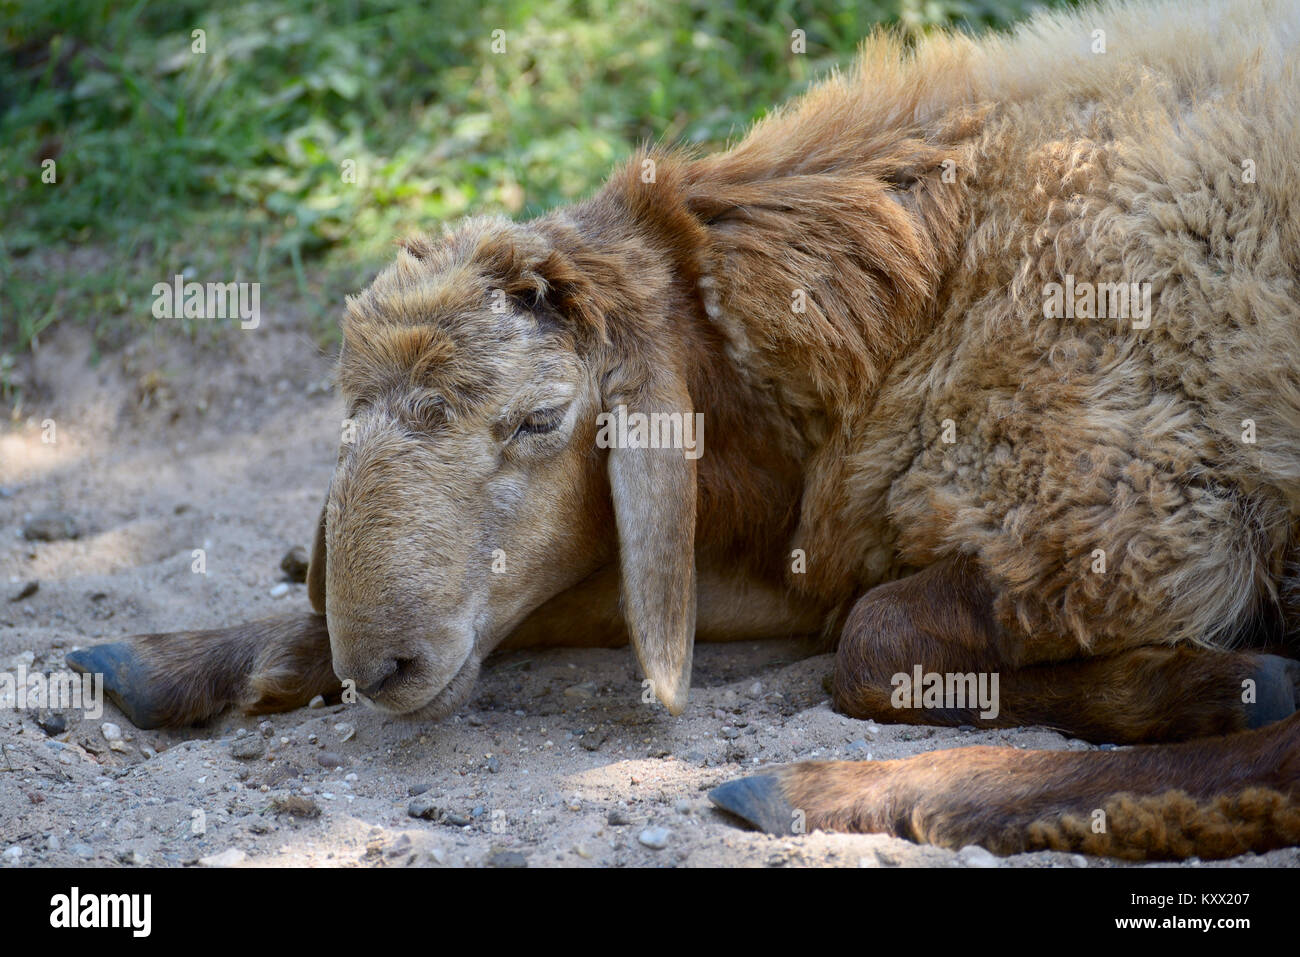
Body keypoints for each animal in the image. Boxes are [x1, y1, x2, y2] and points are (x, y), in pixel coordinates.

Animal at [68, 0, 1300, 859]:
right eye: (345, 418)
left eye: (539, 419)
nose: (382, 663)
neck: (918, 283)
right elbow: (596, 599)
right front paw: (194, 653)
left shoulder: (1128, 523)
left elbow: (869, 642)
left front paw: (1200, 674)